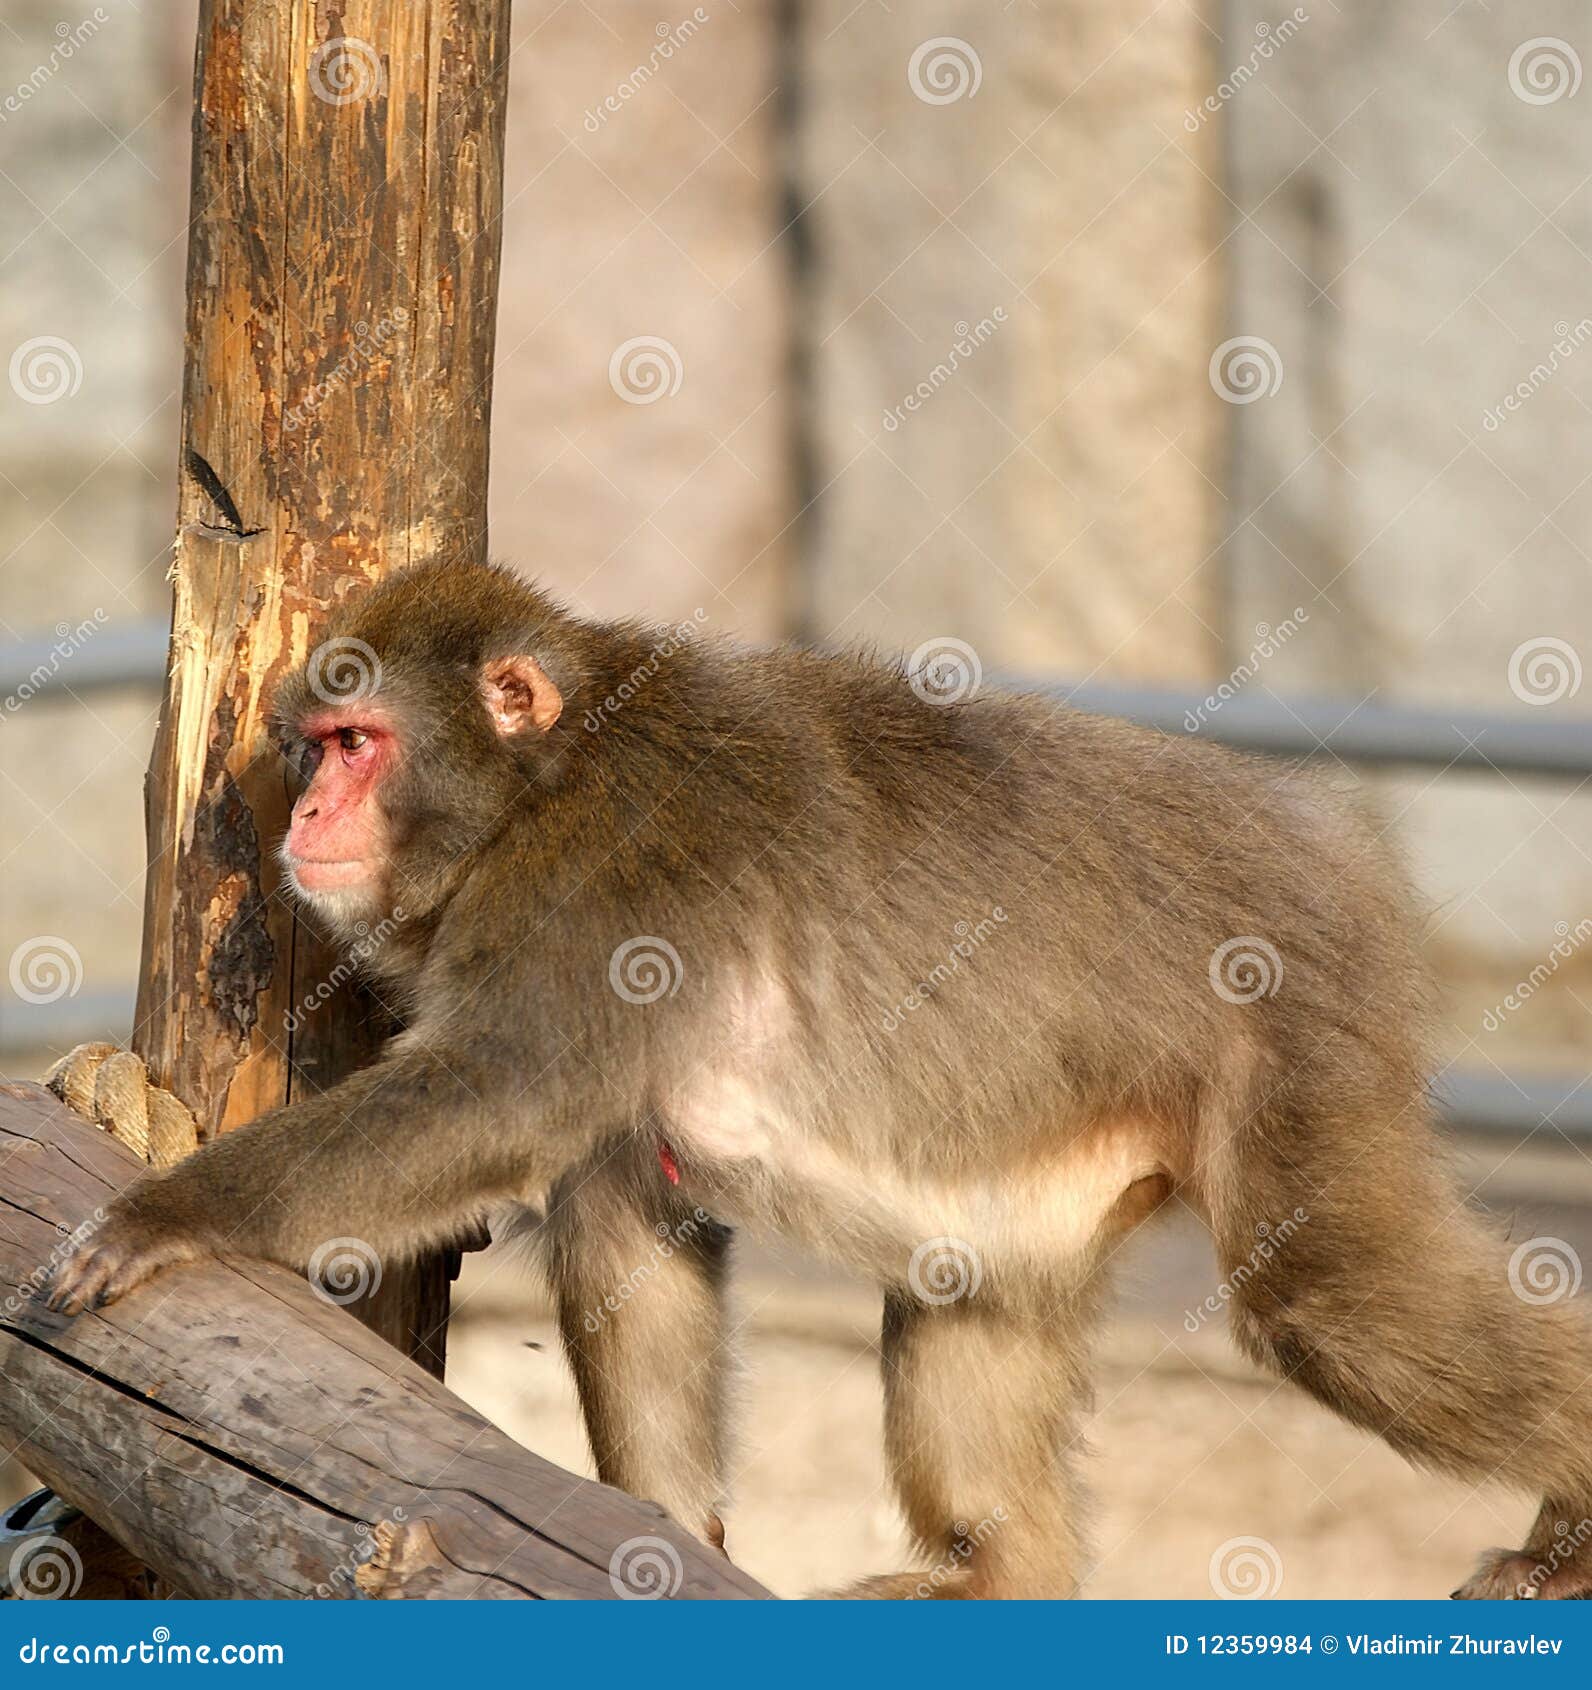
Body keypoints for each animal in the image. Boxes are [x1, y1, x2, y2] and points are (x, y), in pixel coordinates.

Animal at [44, 558, 1592, 1600]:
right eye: (310, 744)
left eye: (357, 744)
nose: (307, 808)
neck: (545, 781)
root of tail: (1336, 844)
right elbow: (622, 1197)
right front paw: (664, 1537)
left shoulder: (606, 885)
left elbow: (505, 1097)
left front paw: (169, 1217)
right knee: (968, 1285)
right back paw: (991, 1580)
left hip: (1302, 1016)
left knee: (1326, 1295)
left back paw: (1564, 1522)